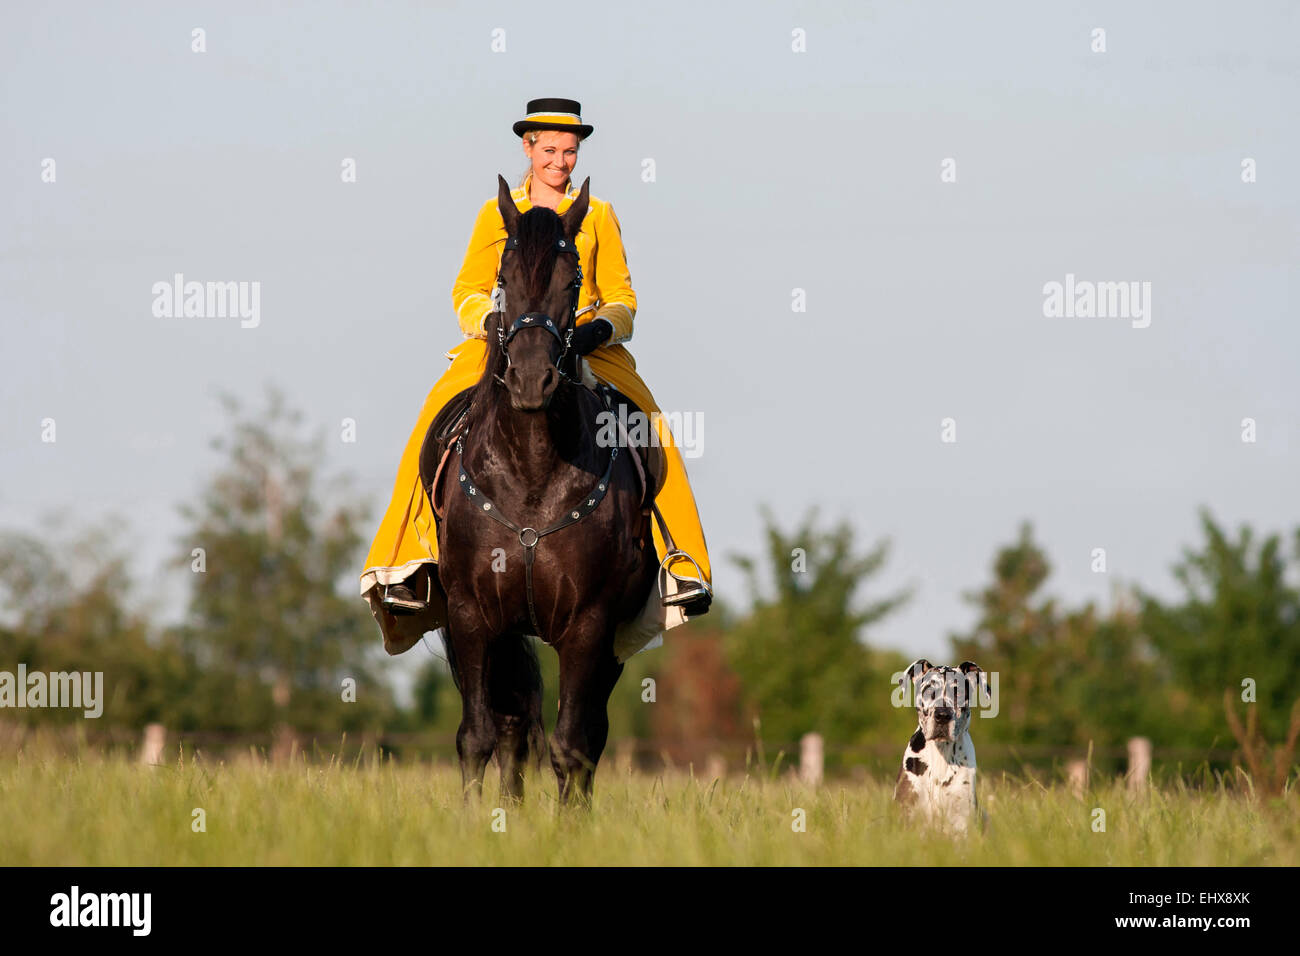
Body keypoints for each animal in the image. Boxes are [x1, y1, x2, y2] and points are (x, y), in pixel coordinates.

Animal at [420, 175, 658, 806]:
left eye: (572, 278)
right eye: (503, 275)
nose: (531, 380)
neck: (530, 470)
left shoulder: (590, 625)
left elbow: (572, 744)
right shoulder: (472, 615)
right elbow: (477, 736)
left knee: (586, 735)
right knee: (508, 728)